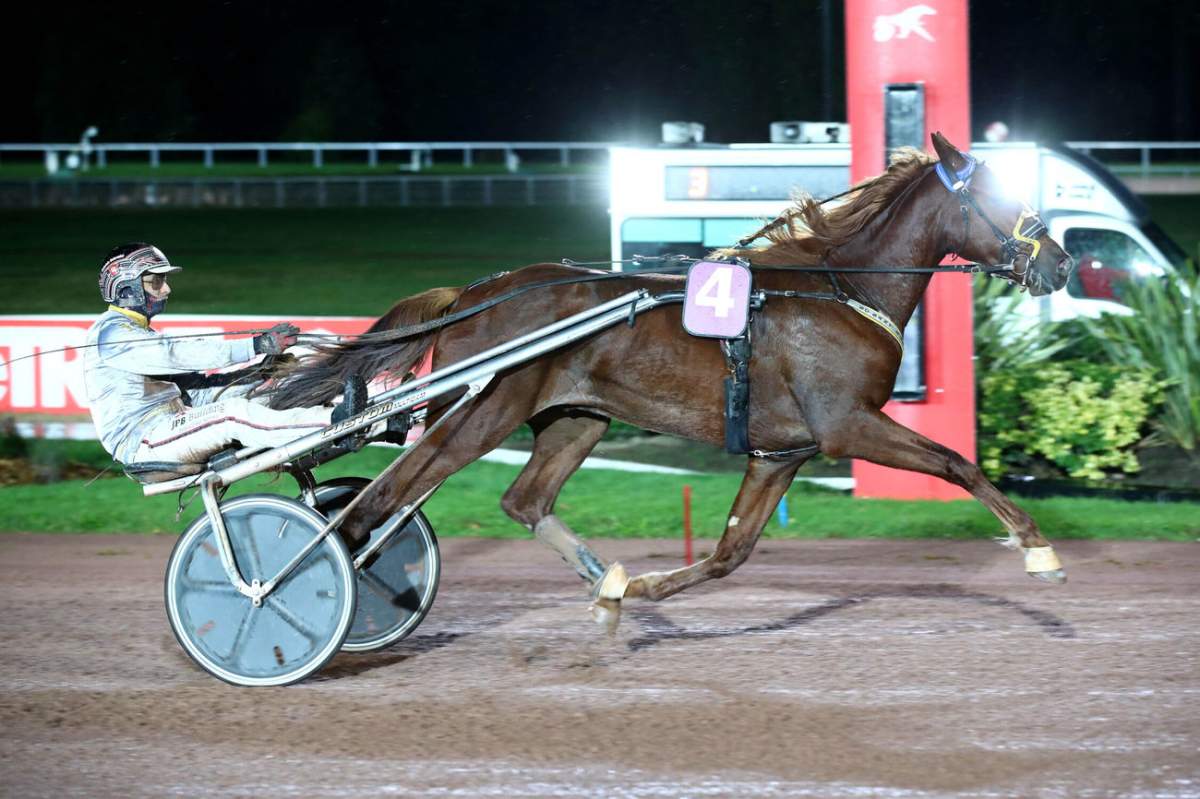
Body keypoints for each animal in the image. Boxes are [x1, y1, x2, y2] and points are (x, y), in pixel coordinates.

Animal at [267, 133, 1076, 629]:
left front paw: (636, 591)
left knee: (521, 498)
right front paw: (1036, 547)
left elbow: (729, 553)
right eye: (1001, 197)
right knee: (385, 496)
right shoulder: (847, 424)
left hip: (576, 417)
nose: (1062, 262)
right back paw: (309, 580)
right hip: (482, 410)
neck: (841, 287)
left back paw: (600, 577)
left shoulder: (780, 453)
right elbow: (956, 461)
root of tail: (473, 293)